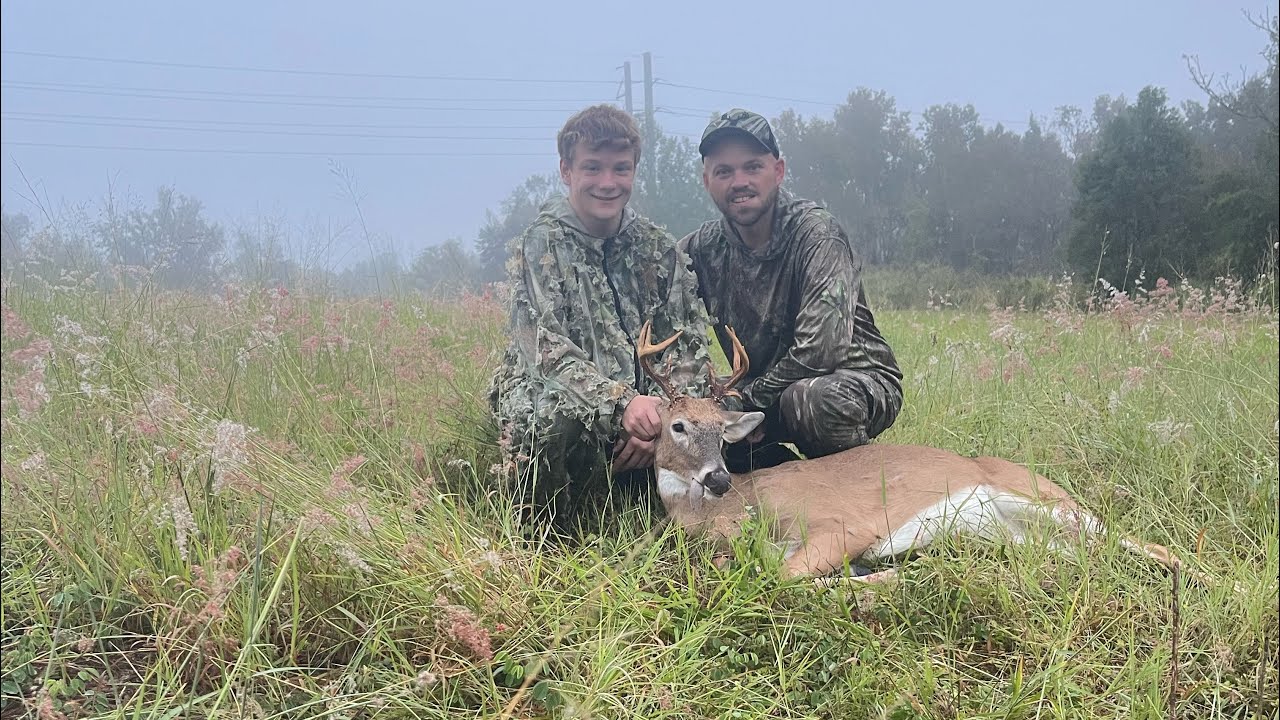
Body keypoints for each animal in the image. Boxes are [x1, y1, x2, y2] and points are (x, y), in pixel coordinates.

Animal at [635, 320, 1215, 587]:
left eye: (721, 431)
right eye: (678, 426)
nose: (717, 479)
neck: (739, 510)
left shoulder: (841, 524)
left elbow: (783, 576)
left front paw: (884, 577)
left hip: (1045, 499)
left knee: (1143, 542)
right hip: (1034, 538)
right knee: (1096, 553)